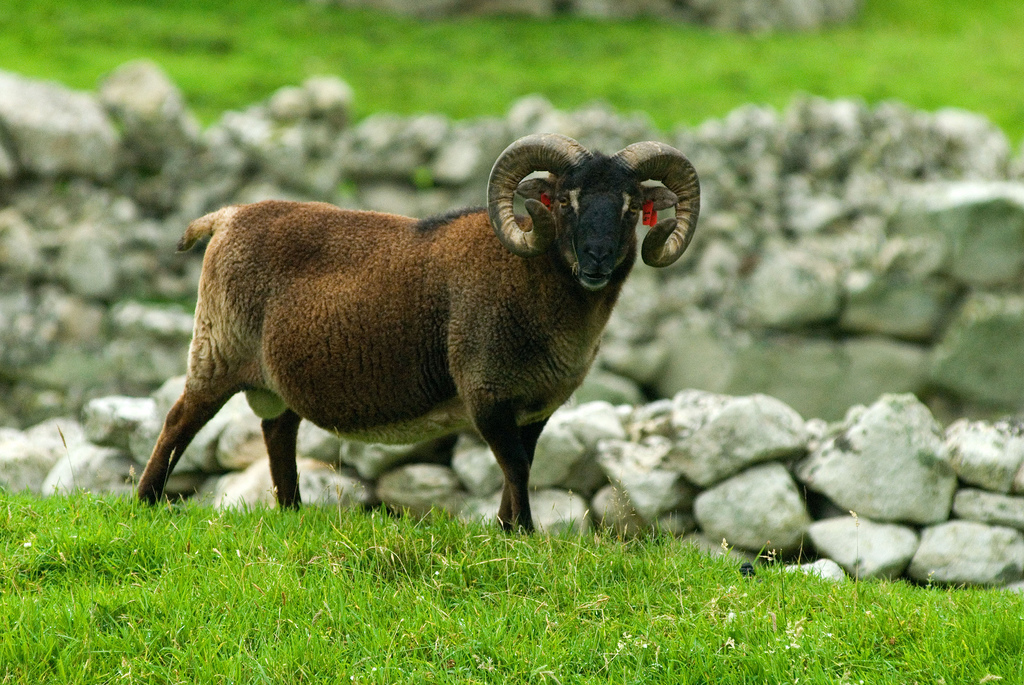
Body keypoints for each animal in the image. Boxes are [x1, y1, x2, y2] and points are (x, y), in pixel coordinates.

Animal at [137, 133, 700, 531]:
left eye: (632, 207)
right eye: (564, 201)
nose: (598, 259)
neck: (532, 278)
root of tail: (227, 216)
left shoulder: (536, 407)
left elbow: (521, 466)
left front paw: (506, 529)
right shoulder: (486, 390)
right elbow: (516, 466)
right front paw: (523, 534)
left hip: (278, 378)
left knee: (278, 433)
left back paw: (292, 513)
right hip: (217, 348)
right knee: (180, 419)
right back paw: (146, 502)